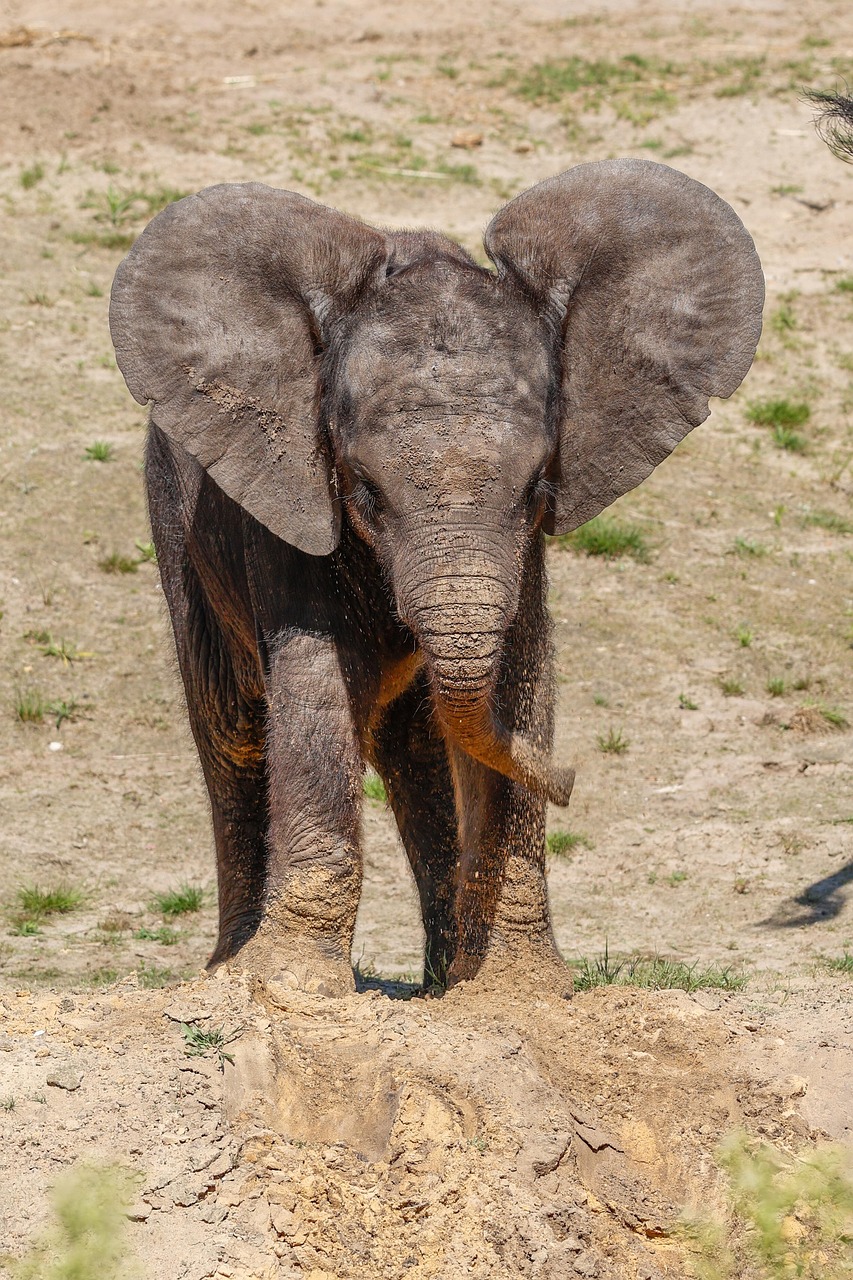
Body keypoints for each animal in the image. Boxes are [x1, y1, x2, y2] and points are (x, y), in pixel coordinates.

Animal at [109, 159, 764, 997]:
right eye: (361, 487)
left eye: (537, 487)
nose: (572, 779)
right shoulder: (288, 504)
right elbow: (315, 690)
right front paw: (291, 986)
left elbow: (521, 680)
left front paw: (514, 991)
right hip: (173, 519)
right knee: (232, 735)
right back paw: (227, 971)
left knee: (415, 753)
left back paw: (438, 983)